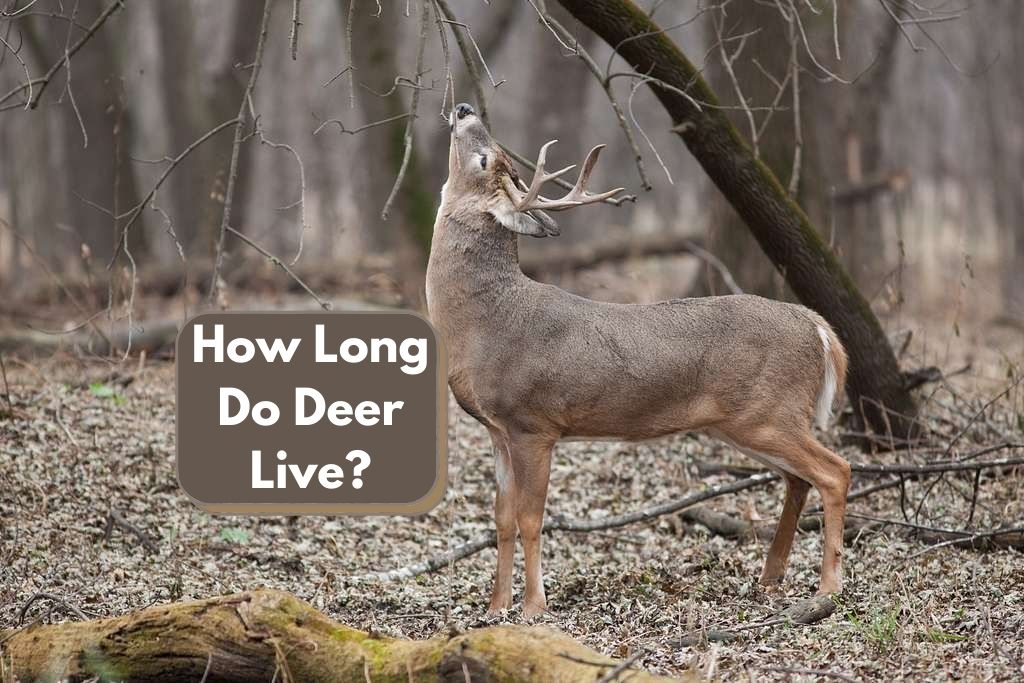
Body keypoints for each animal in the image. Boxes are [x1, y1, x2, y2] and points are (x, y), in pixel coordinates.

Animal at [426, 102, 851, 619]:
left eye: (485, 158)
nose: (464, 108)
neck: (484, 322)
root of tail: (818, 326)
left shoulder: (534, 423)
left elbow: (530, 517)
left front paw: (532, 608)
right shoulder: (497, 429)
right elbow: (502, 518)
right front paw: (495, 608)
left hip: (768, 412)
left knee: (835, 471)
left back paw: (827, 587)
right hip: (750, 421)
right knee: (798, 479)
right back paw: (771, 576)